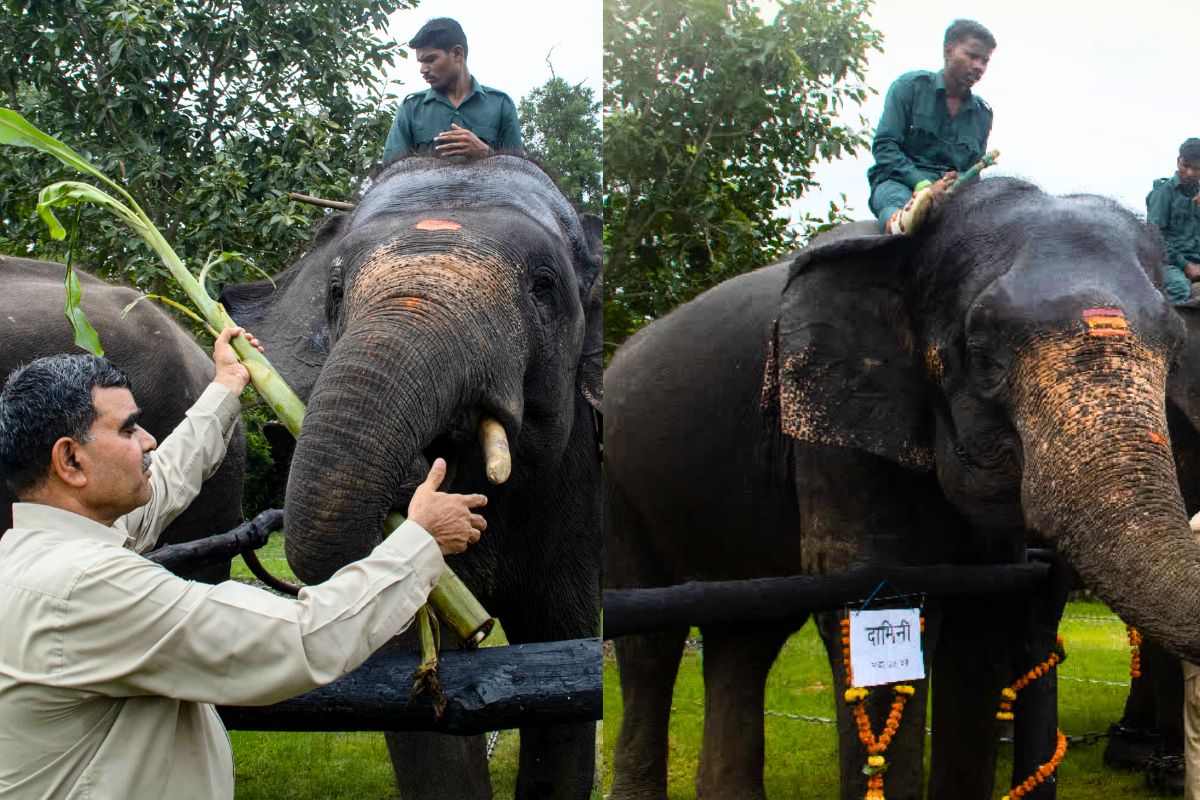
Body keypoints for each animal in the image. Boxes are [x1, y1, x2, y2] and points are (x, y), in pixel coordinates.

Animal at [219, 154, 603, 800]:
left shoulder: (575, 492)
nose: (415, 474)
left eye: (544, 287)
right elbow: (413, 692)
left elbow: (567, 667)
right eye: (335, 292)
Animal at [604, 176, 1200, 800]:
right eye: (981, 356)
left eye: (1175, 351)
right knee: (651, 642)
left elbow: (982, 615)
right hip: (618, 484)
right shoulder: (833, 432)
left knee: (744, 635)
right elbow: (874, 602)